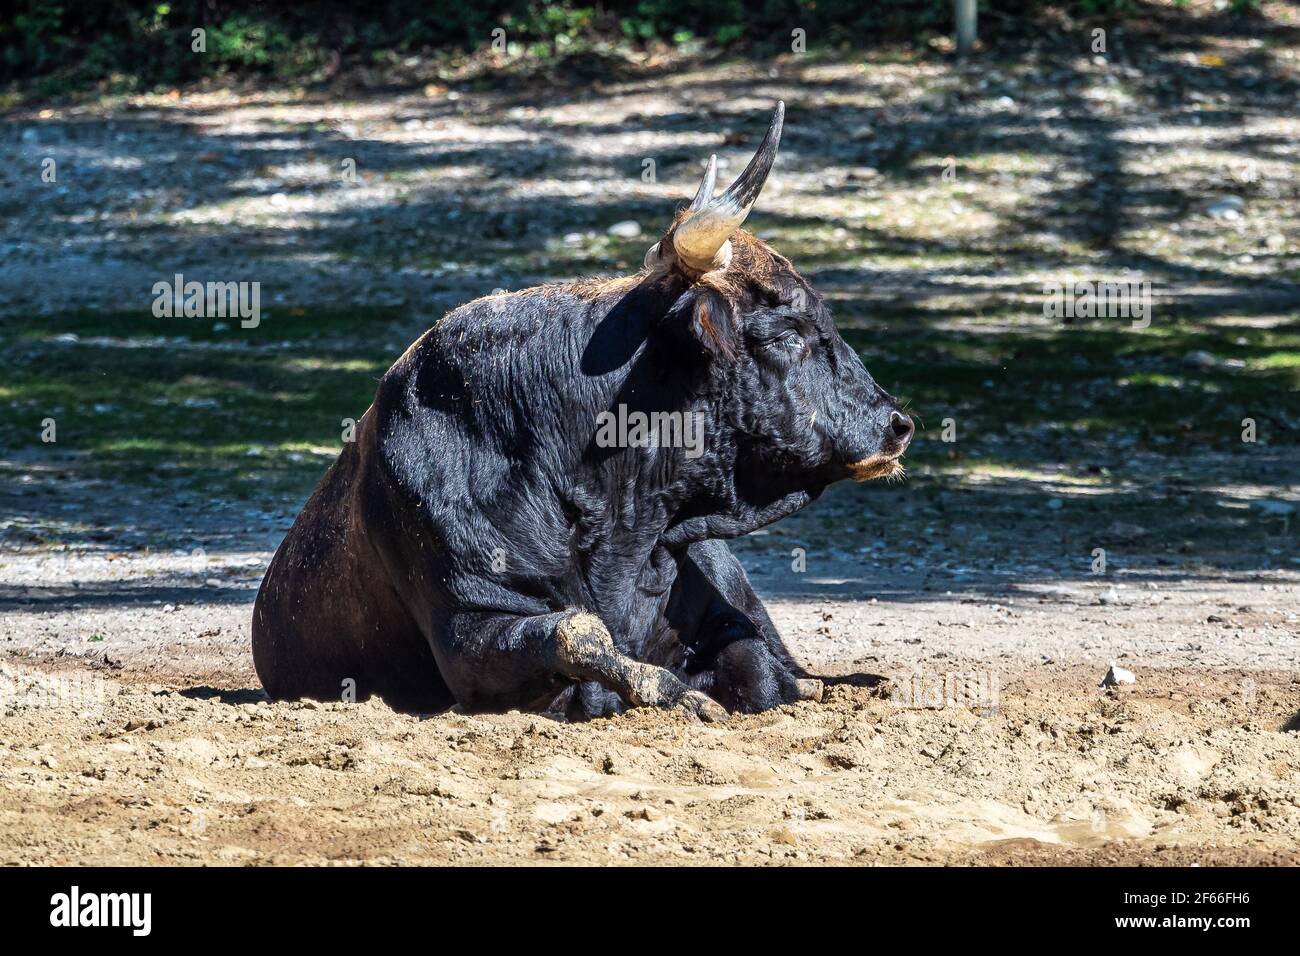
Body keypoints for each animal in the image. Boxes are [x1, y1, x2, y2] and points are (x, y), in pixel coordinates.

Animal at [251, 103, 914, 721]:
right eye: (785, 333)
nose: (896, 424)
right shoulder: (470, 631)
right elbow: (578, 635)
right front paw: (675, 693)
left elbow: (758, 666)